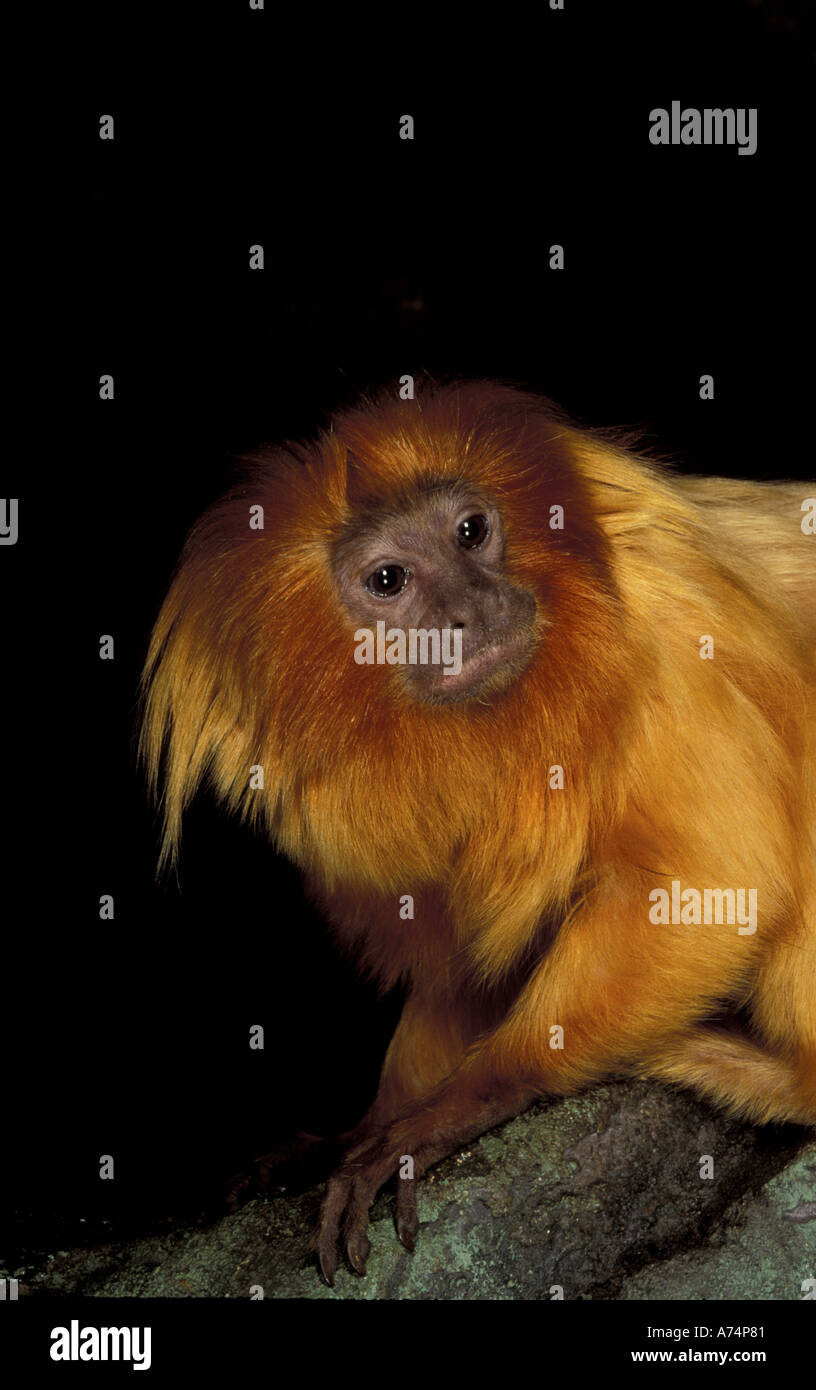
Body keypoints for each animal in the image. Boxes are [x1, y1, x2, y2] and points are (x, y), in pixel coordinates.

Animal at [140, 380, 816, 1284]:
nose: (471, 610)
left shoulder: (669, 661)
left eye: (470, 532)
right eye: (389, 579)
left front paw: (470, 1096)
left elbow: (712, 884)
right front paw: (365, 1123)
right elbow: (456, 965)